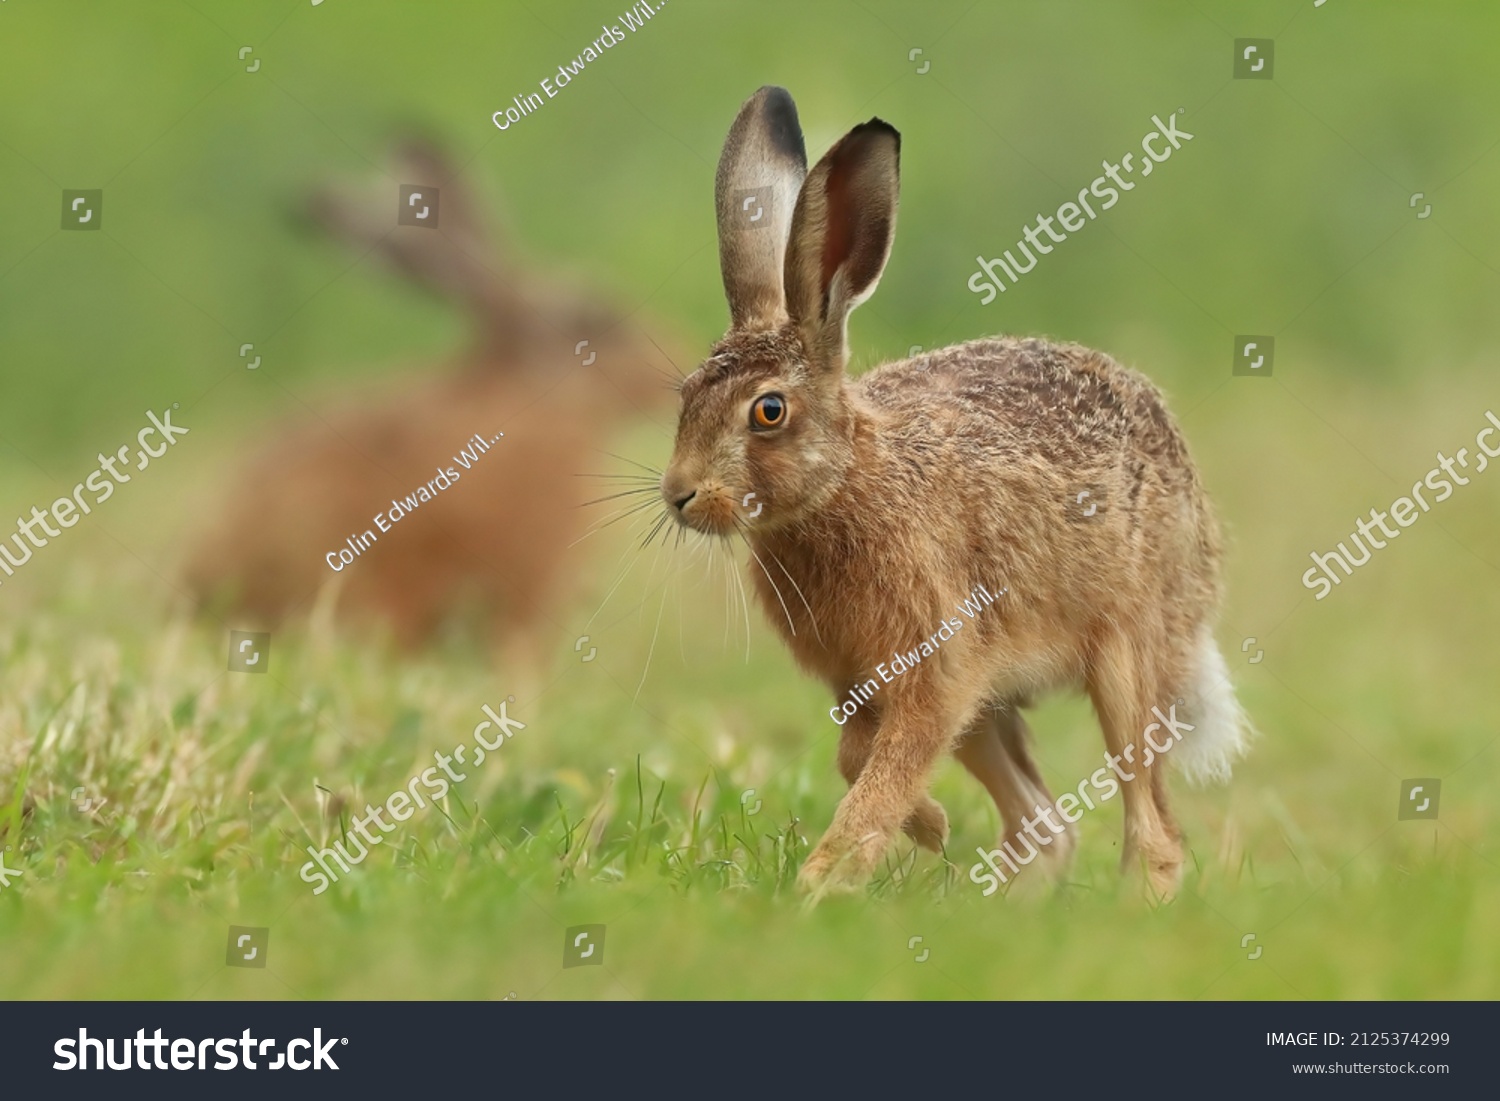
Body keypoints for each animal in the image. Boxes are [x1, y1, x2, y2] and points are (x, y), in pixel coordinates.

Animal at [659, 87, 1250, 899]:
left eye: (768, 411)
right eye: (686, 395)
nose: (678, 494)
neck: (850, 482)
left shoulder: (938, 664)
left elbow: (881, 772)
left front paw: (825, 881)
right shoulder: (870, 682)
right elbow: (855, 758)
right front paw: (929, 828)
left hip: (1126, 655)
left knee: (1150, 821)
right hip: (995, 703)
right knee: (1045, 825)